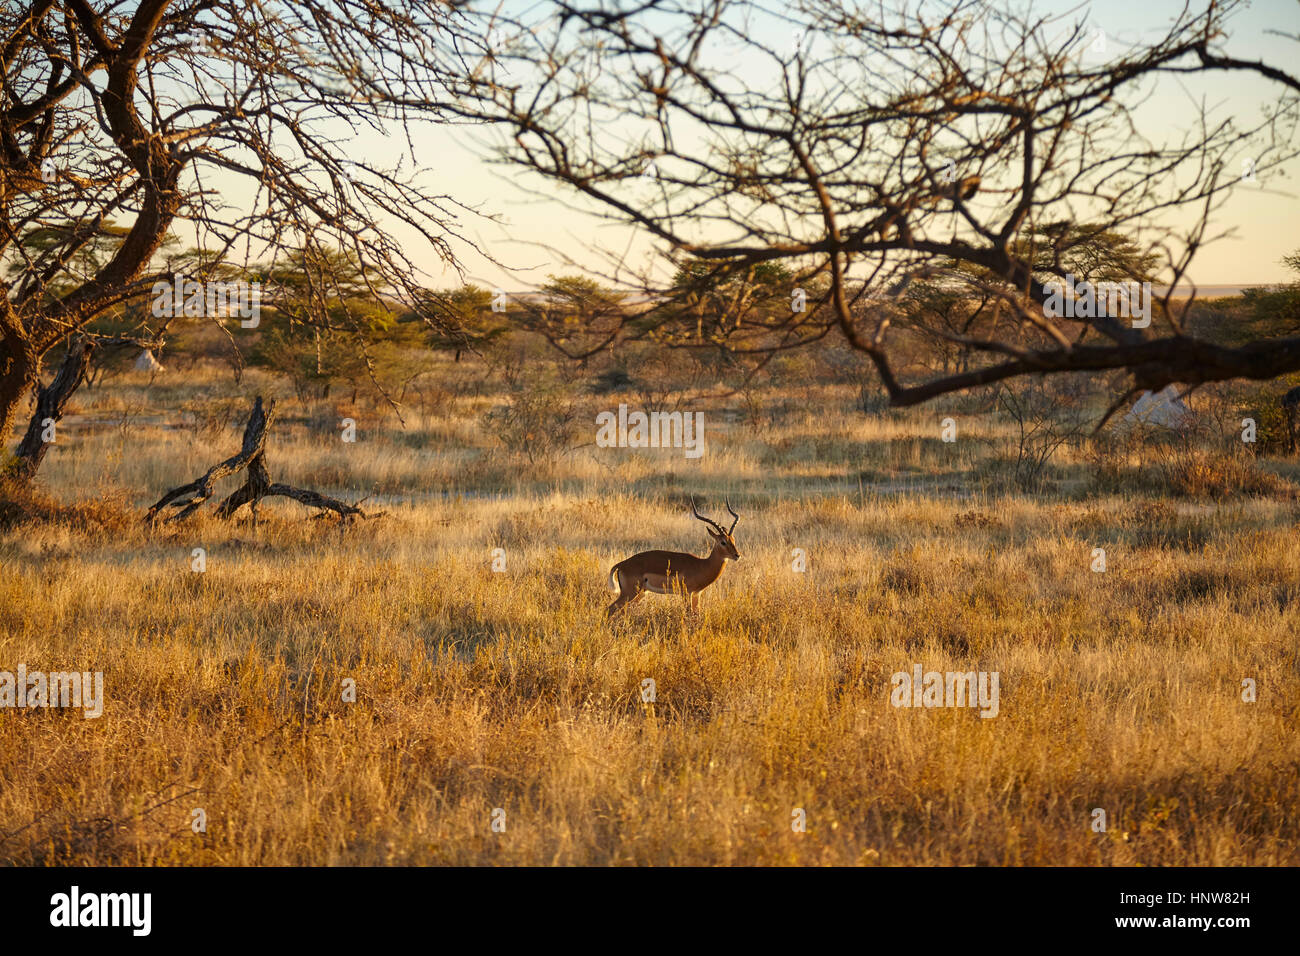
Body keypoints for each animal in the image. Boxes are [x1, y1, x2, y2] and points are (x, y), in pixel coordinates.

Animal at [606, 499, 740, 618]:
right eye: (723, 542)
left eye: (733, 540)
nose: (737, 555)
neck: (702, 565)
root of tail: (622, 564)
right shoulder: (687, 593)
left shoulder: (697, 595)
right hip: (630, 593)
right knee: (608, 610)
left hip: (640, 593)